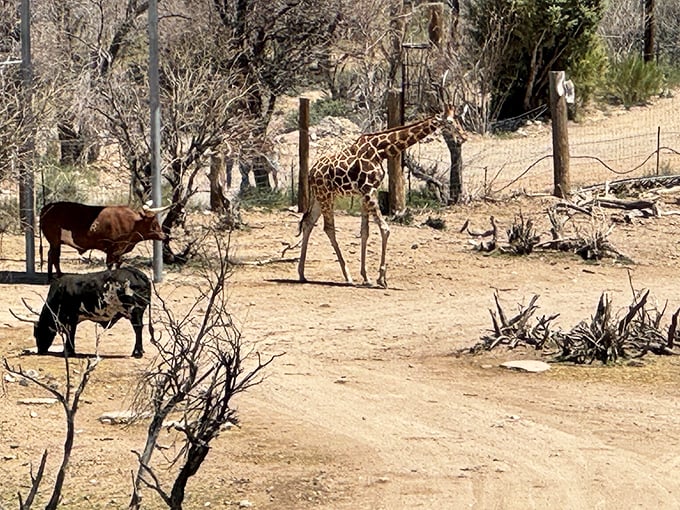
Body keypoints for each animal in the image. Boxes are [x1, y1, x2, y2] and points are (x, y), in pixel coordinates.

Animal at [297, 105, 467, 288]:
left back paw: (302, 274)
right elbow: (385, 229)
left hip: (320, 196)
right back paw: (347, 277)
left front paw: (366, 277)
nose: (464, 136)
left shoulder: (366, 193)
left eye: (458, 120)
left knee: (308, 222)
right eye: (450, 122)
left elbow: (365, 231)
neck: (382, 151)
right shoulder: (369, 191)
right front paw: (381, 278)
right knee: (328, 228)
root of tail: (311, 173)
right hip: (326, 196)